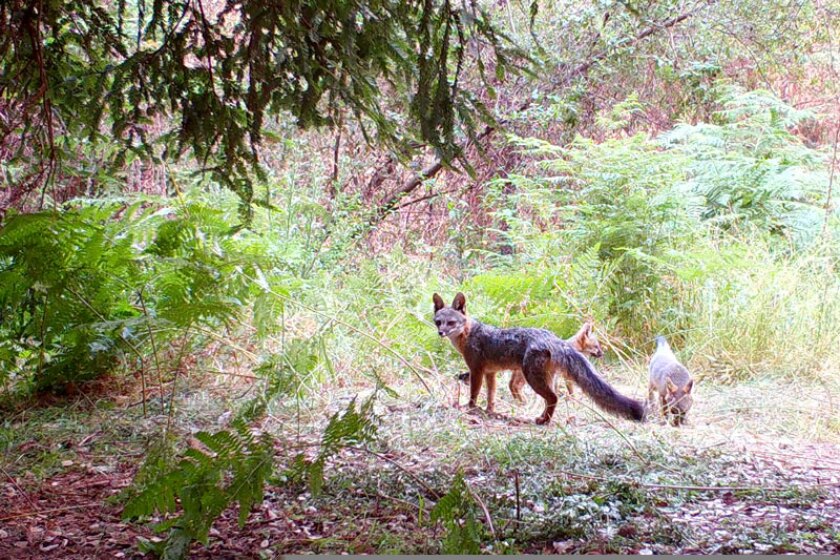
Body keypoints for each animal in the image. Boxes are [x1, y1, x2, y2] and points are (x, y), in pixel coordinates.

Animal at [457, 321, 603, 402]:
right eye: (597, 347)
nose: (602, 353)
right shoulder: (564, 377)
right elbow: (570, 390)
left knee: (512, 386)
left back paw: (521, 401)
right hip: (526, 375)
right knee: (514, 386)